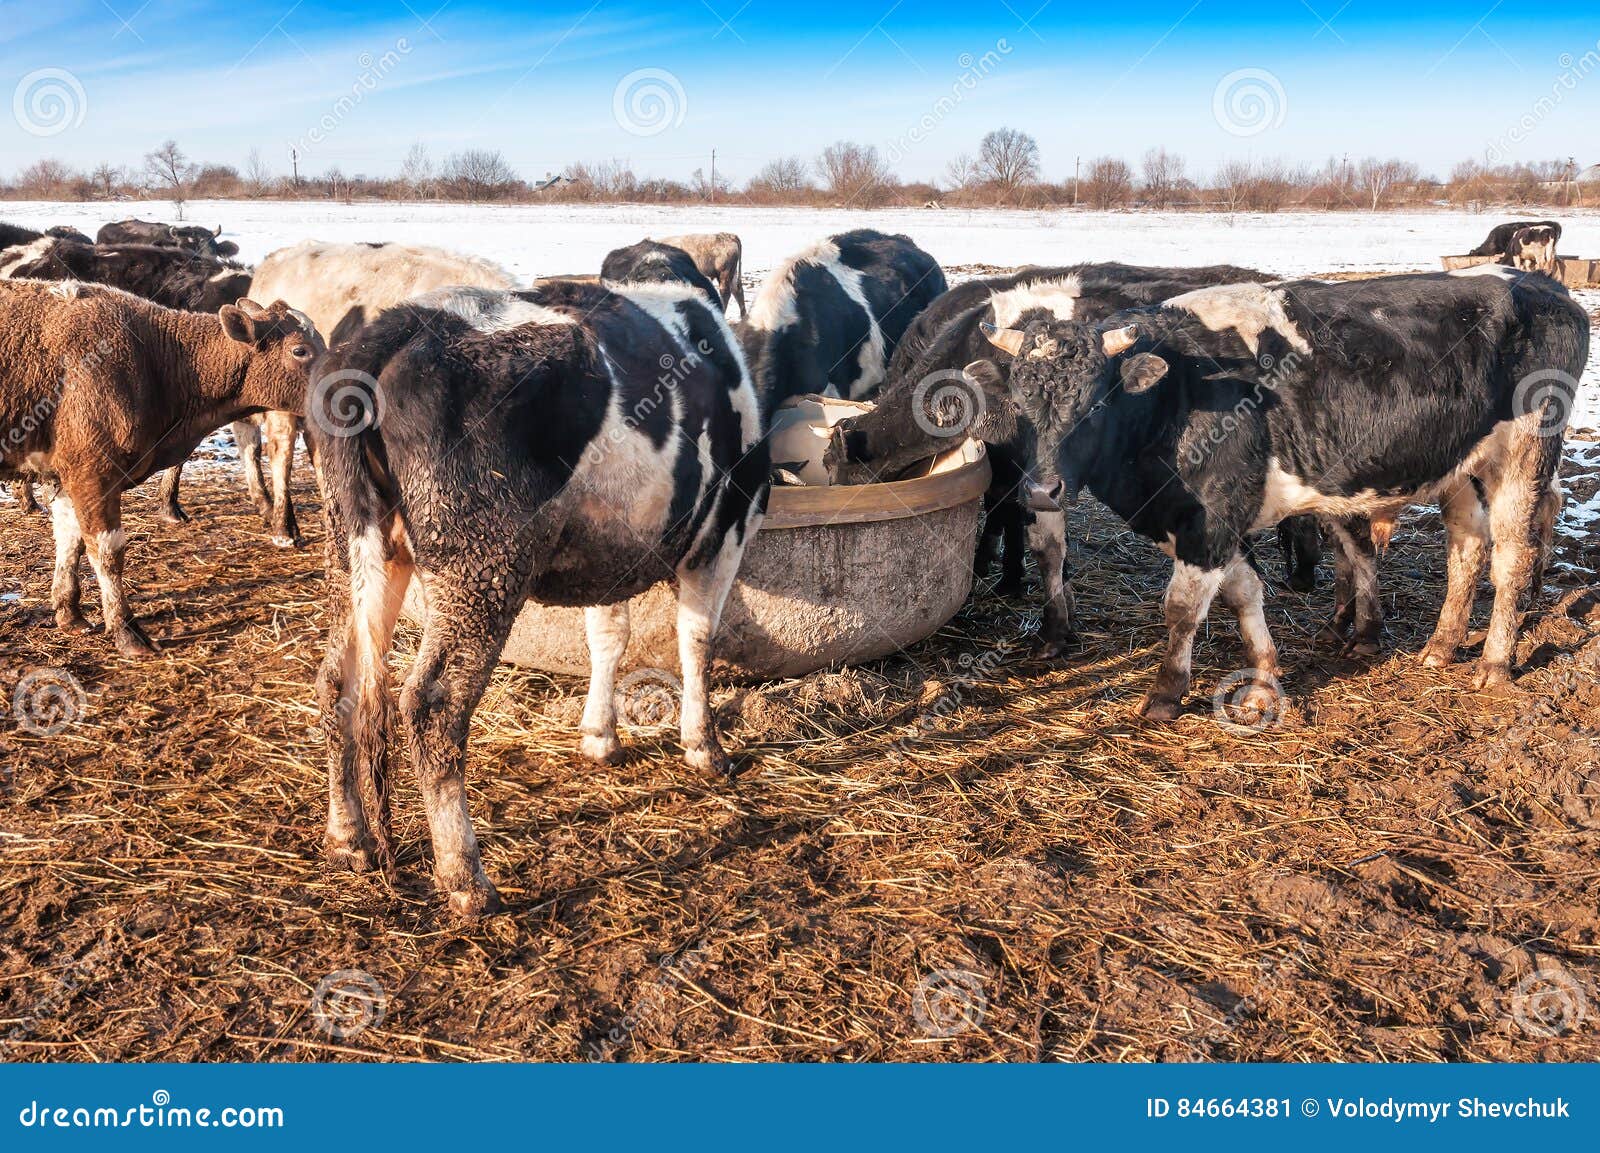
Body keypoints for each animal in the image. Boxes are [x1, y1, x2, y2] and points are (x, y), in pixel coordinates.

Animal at [0, 284, 322, 655]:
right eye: (300, 350)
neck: (159, 358)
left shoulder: (68, 475)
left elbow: (70, 541)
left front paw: (70, 613)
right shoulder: (93, 473)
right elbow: (107, 552)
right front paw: (126, 630)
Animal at [312, 279, 768, 916]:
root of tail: (397, 328)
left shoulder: (612, 552)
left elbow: (608, 637)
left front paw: (600, 737)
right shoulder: (726, 528)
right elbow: (697, 640)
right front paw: (705, 748)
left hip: (357, 545)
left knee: (339, 681)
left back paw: (348, 837)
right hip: (480, 564)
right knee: (431, 704)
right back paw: (466, 879)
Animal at [959, 267, 1586, 719]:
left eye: (1094, 403)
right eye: (1021, 402)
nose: (1043, 488)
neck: (1175, 394)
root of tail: (1540, 285)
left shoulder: (1211, 516)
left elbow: (1182, 608)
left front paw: (1166, 694)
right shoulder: (1213, 519)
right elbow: (1244, 595)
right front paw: (1262, 678)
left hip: (1525, 454)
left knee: (1513, 554)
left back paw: (1495, 662)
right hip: (1459, 468)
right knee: (1466, 549)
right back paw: (1441, 645)